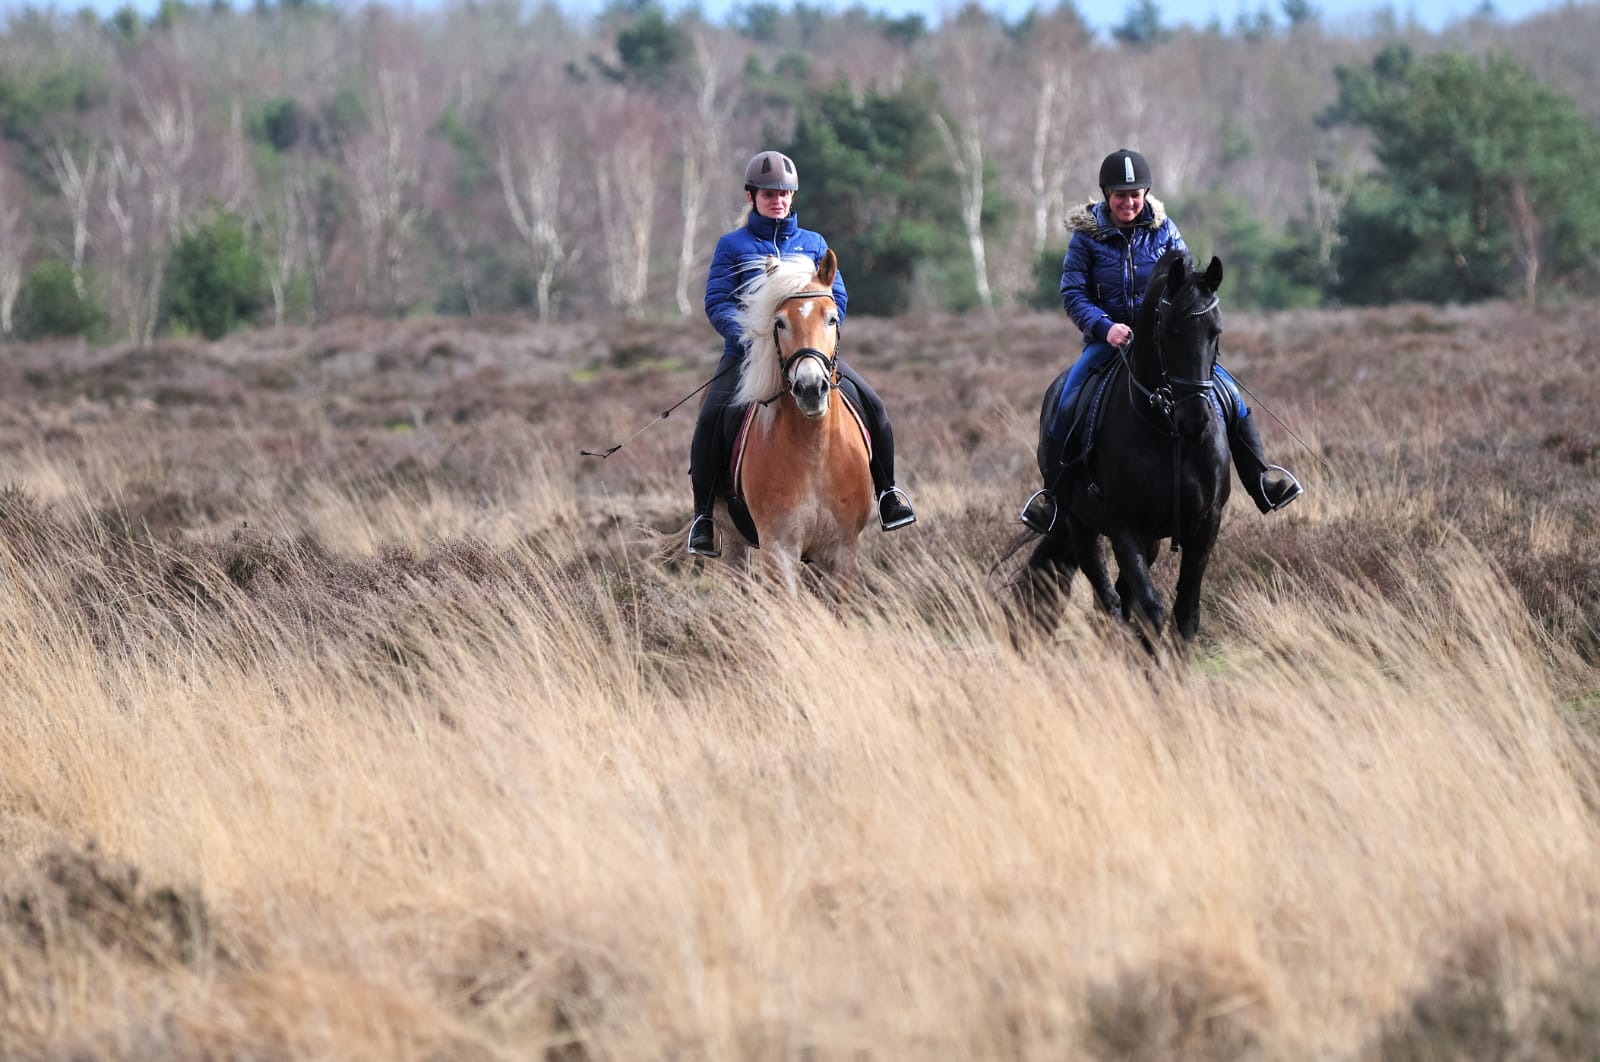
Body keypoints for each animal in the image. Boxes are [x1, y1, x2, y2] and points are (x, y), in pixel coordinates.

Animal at [1024, 250, 1231, 645]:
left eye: (1216, 332)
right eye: (1170, 331)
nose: (1196, 421)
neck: (1167, 433)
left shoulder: (1205, 525)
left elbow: (1186, 613)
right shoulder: (1124, 528)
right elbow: (1151, 609)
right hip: (1080, 524)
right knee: (1109, 600)